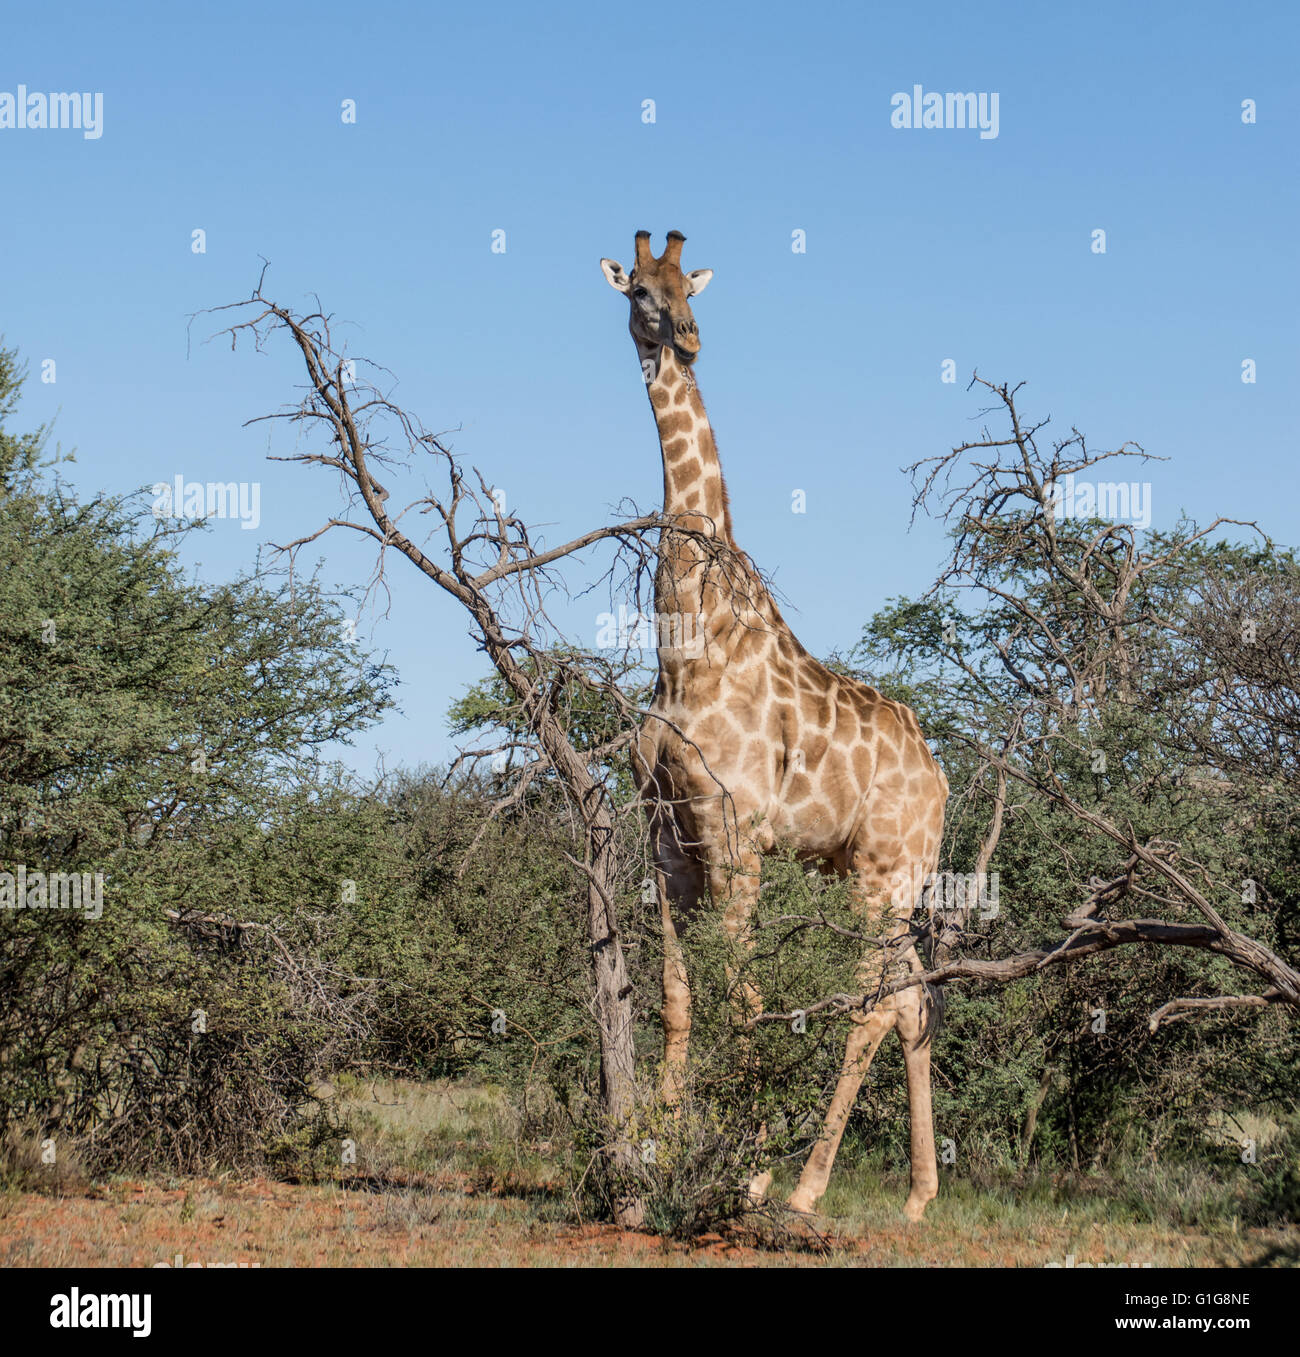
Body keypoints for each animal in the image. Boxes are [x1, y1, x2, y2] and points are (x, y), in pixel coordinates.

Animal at [599, 229, 949, 1219]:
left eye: (688, 286)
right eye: (639, 291)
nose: (687, 335)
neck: (687, 636)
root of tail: (943, 779)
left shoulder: (738, 831)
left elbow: (747, 998)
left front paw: (740, 1168)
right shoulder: (669, 835)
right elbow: (680, 996)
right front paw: (652, 1156)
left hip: (882, 872)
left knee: (873, 1003)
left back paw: (802, 1187)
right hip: (883, 874)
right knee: (912, 999)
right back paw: (918, 1194)